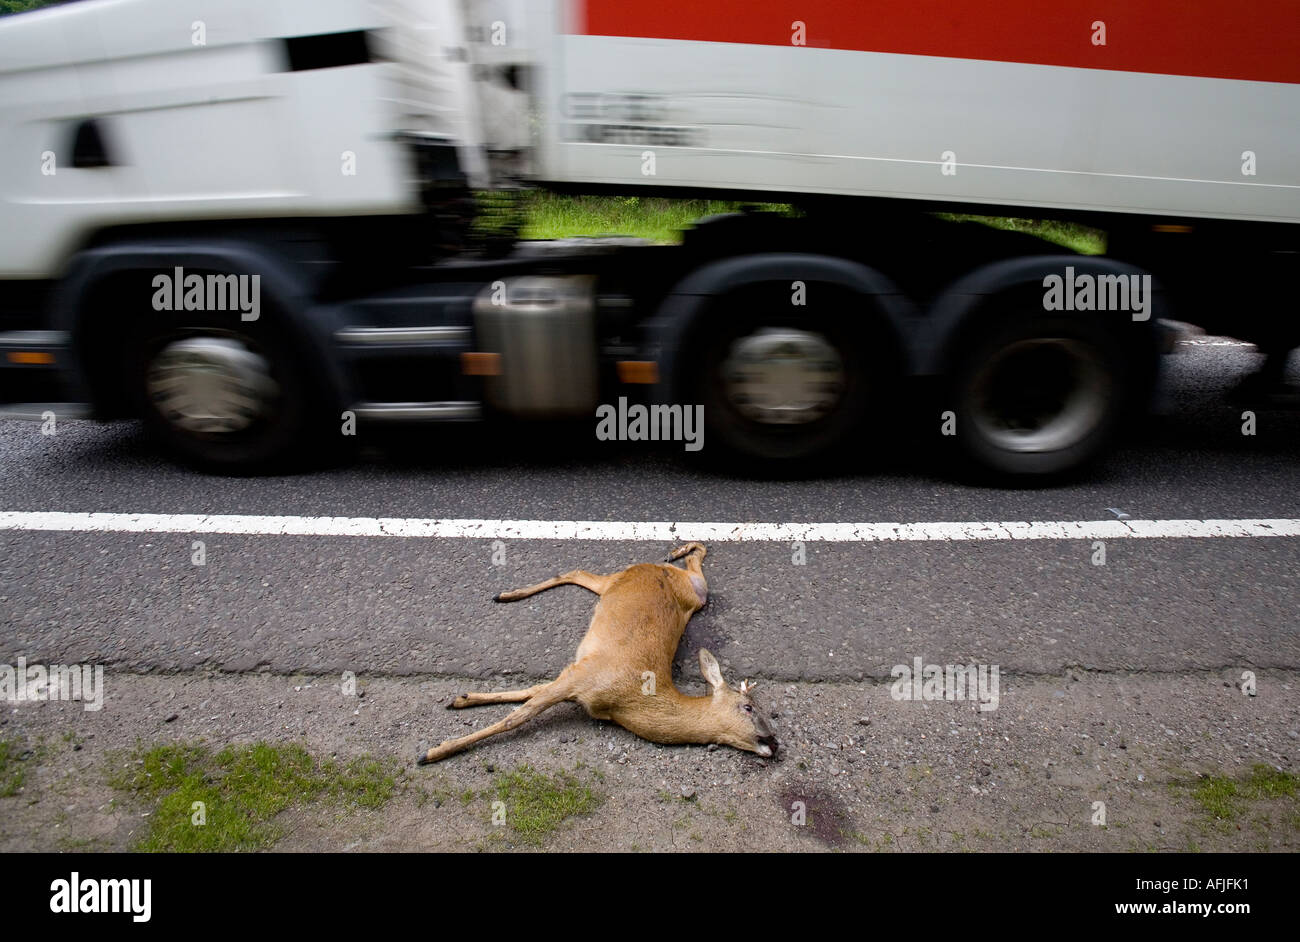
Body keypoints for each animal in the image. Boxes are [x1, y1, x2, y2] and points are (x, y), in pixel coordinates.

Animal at [418, 542, 778, 764]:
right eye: (748, 707)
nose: (774, 741)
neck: (627, 702)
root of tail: (653, 567)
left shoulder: (575, 674)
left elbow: (529, 692)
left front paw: (463, 698)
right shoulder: (581, 676)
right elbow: (516, 717)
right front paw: (434, 751)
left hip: (689, 594)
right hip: (635, 583)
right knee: (576, 571)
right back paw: (507, 594)